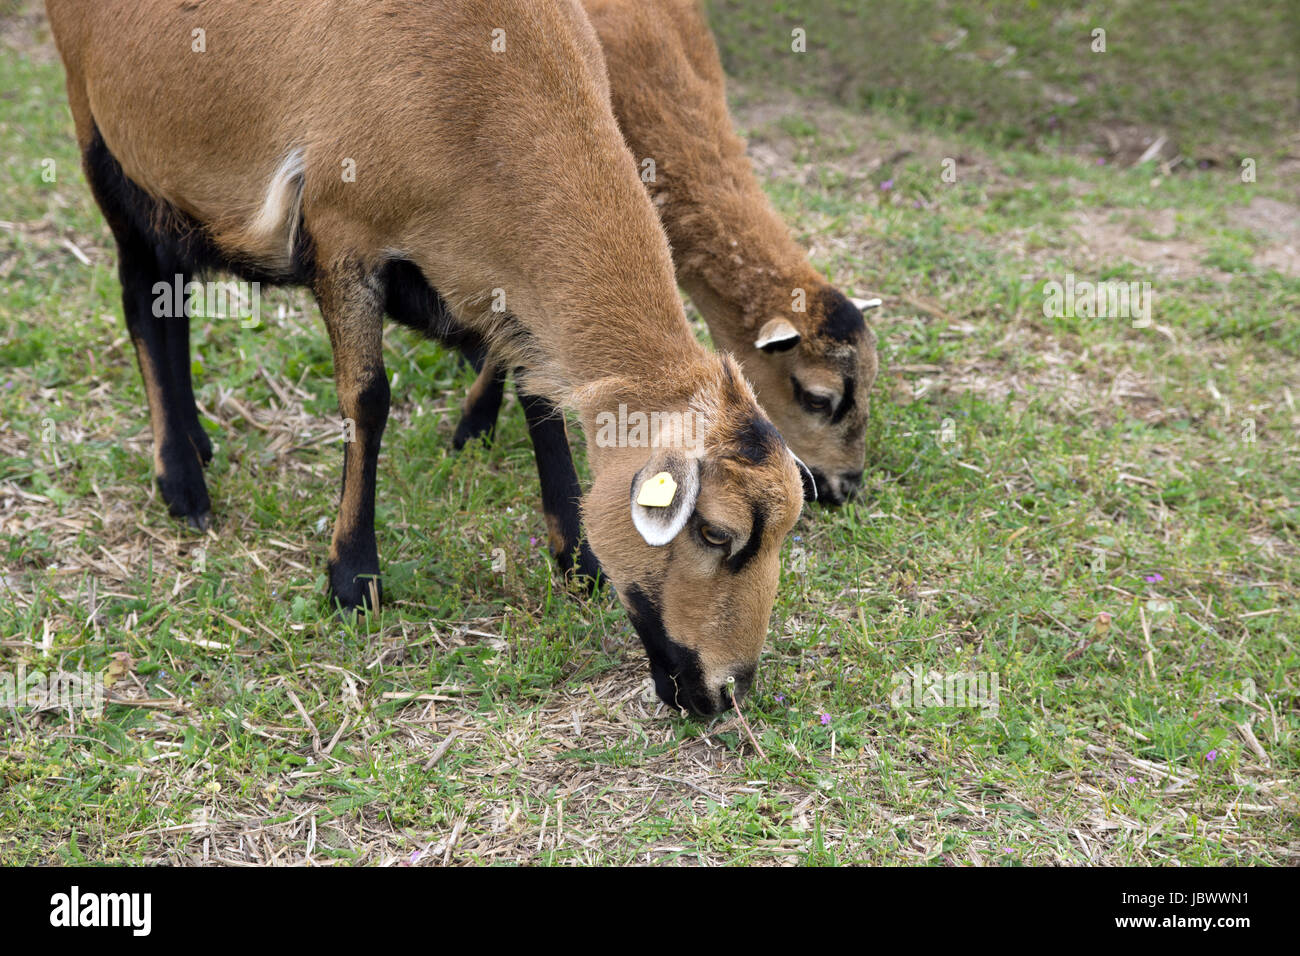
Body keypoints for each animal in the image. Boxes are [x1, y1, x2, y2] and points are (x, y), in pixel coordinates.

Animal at [46, 0, 810, 715]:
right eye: (715, 532)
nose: (728, 694)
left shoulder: (488, 280)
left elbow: (539, 399)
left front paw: (576, 559)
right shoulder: (340, 234)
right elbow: (368, 399)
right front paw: (352, 579)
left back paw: (196, 445)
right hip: (104, 135)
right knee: (147, 300)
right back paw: (182, 482)